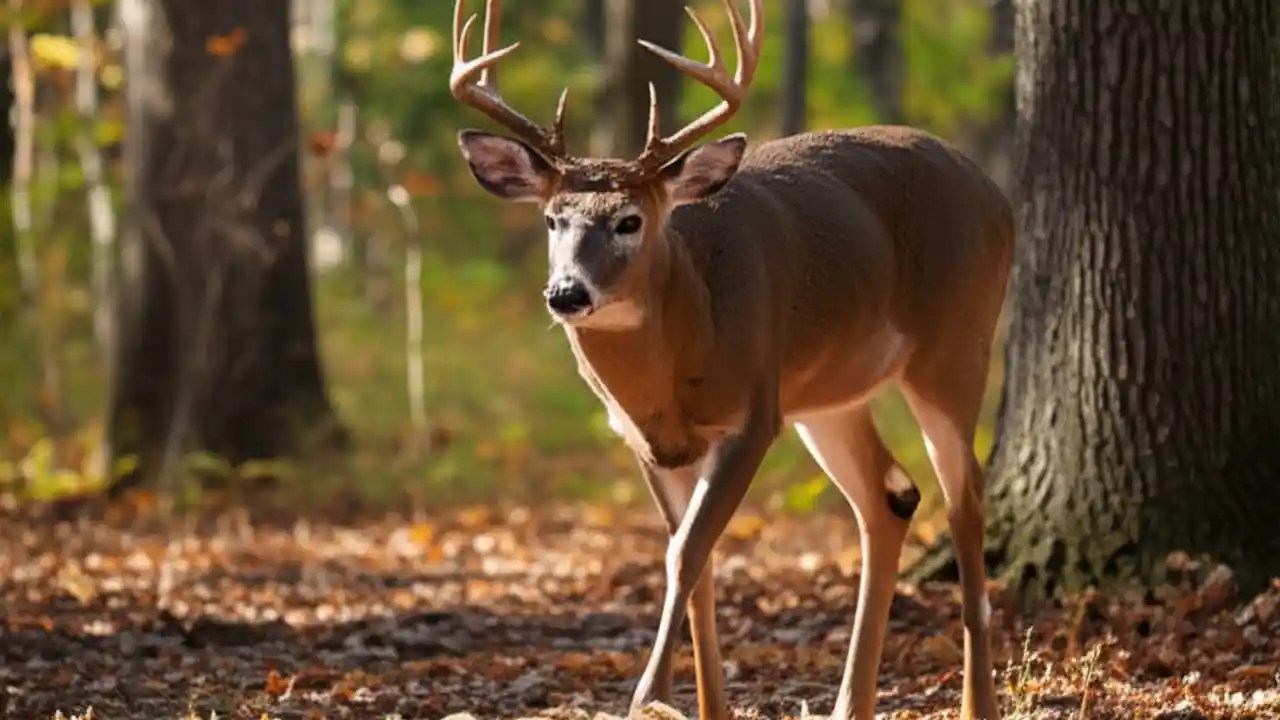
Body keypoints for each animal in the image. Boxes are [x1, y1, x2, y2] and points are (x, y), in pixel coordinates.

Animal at [449, 1, 1013, 718]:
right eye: (552, 219)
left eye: (630, 220)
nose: (567, 293)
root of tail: (998, 197)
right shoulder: (647, 442)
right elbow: (694, 555)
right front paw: (705, 704)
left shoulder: (752, 416)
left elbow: (686, 552)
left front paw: (648, 698)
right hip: (826, 399)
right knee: (891, 498)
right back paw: (849, 703)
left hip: (955, 345)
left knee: (965, 498)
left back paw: (976, 703)